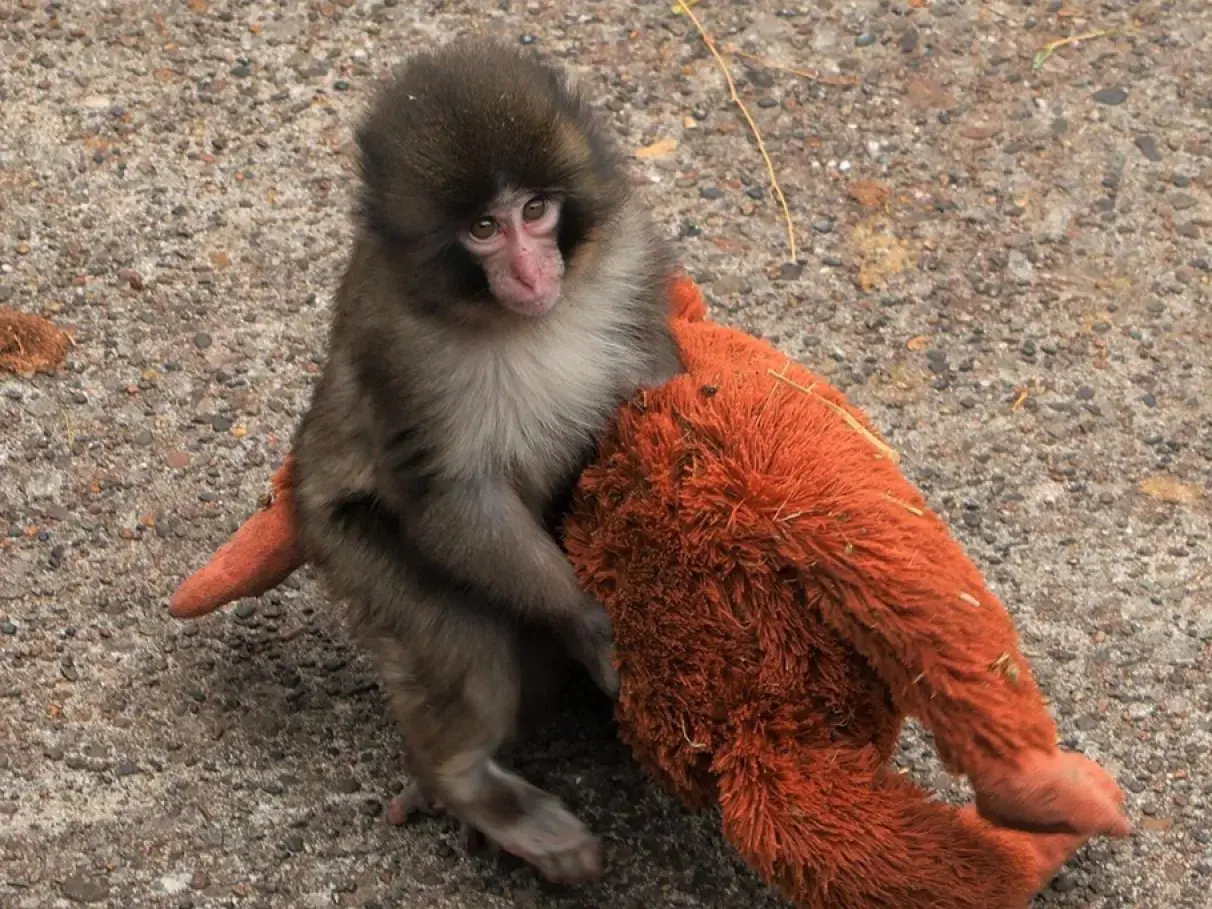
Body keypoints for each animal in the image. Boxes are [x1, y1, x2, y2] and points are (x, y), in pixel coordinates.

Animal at [290, 37, 683, 885]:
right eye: (481, 227)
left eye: (535, 211)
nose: (532, 273)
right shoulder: (399, 346)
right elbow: (450, 497)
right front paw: (587, 621)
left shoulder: (629, 259)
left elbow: (658, 383)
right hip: (345, 542)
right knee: (465, 640)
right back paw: (466, 784)